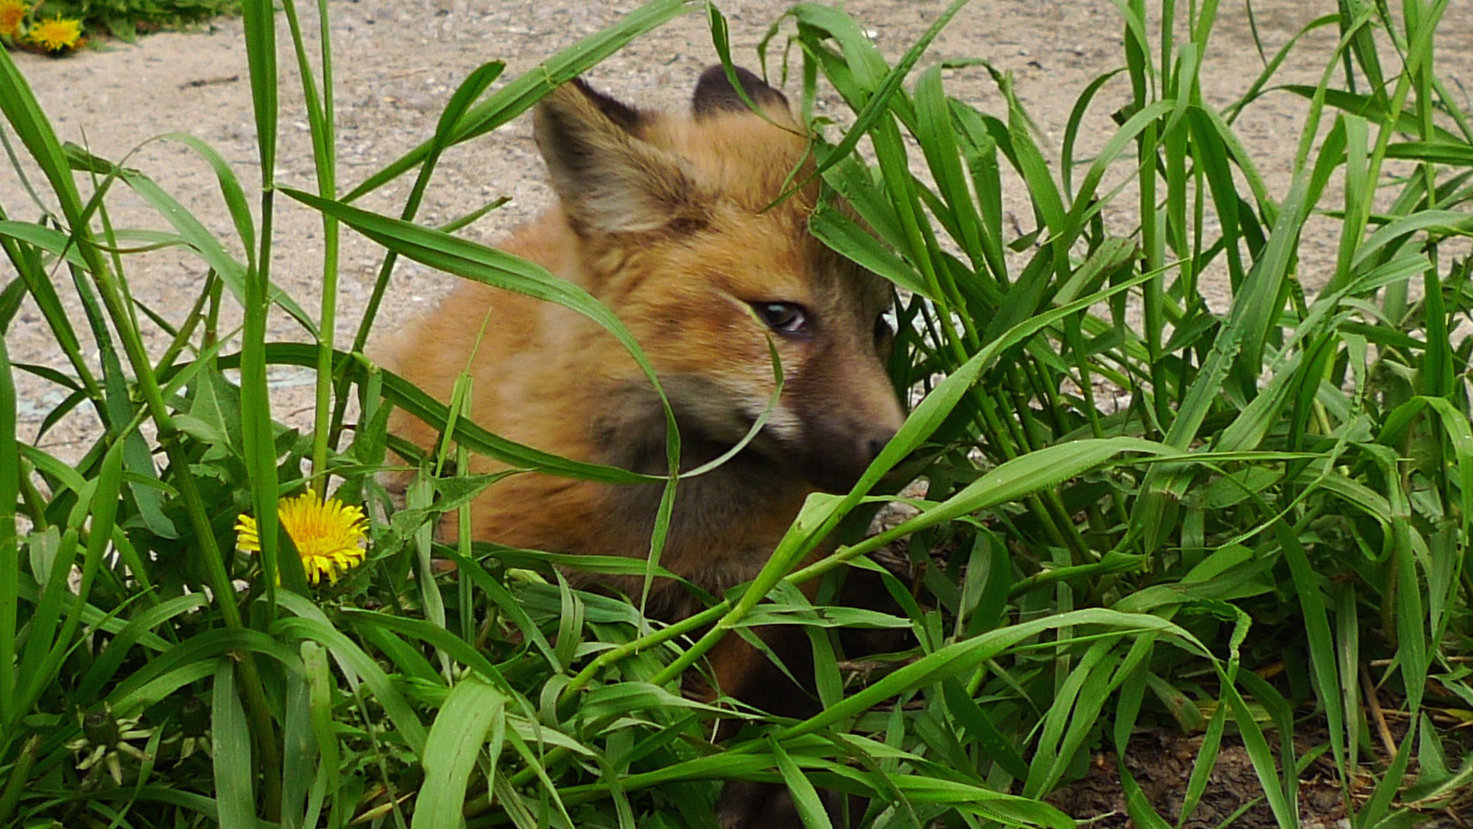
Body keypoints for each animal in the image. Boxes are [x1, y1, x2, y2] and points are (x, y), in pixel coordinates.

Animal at [385, 65, 905, 824]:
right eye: (781, 315)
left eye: (881, 325)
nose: (895, 449)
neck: (669, 514)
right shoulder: (508, 580)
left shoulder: (748, 597)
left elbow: (703, 730)